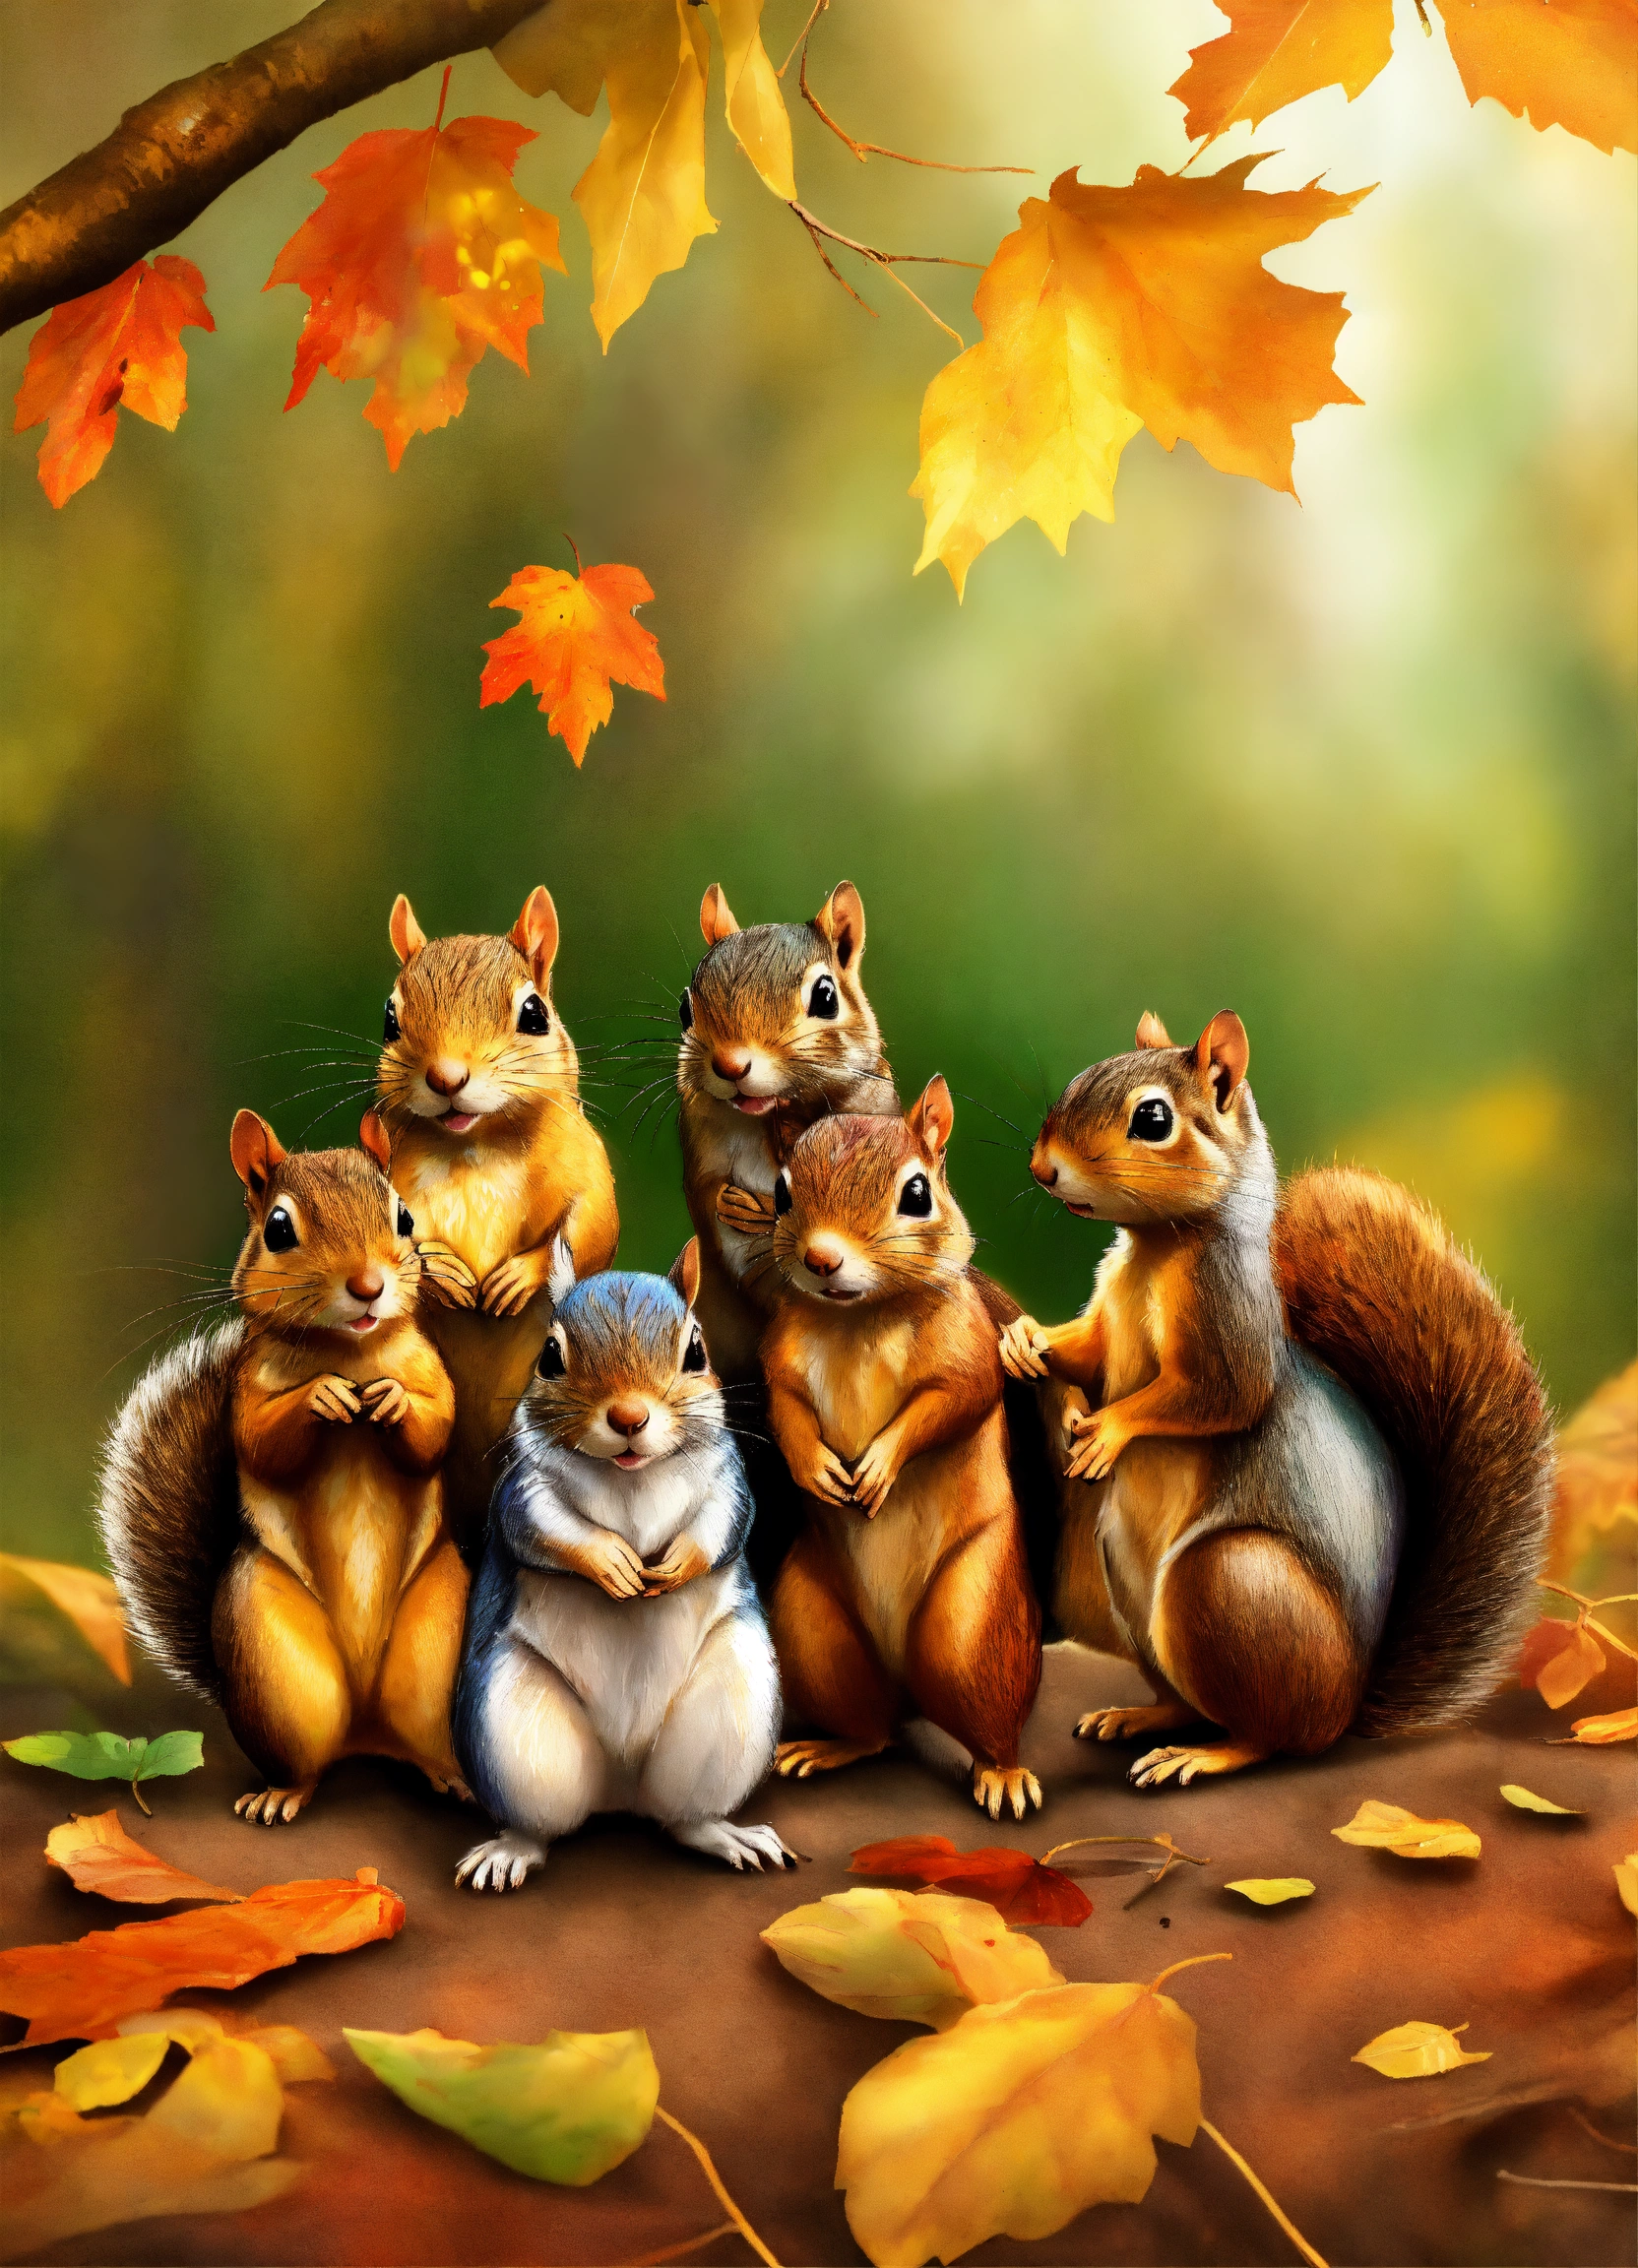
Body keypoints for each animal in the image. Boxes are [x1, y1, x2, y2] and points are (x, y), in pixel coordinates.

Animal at [99, 1110, 468, 1825]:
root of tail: (365, 1730)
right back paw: (280, 1795)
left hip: (440, 1641)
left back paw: (454, 1777)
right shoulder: (247, 1393)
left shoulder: (433, 1371)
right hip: (270, 1656)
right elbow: (264, 1445)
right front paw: (321, 1398)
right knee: (303, 1763)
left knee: (427, 1740)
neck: (351, 1350)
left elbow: (435, 1434)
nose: (369, 1287)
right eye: (277, 1228)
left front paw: (391, 1400)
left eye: (405, 1217)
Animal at [376, 886, 620, 1553]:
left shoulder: (588, 1167)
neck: (474, 1147)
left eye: (533, 1013)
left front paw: (514, 1278)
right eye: (389, 1019)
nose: (446, 1077)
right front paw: (445, 1272)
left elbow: (592, 1230)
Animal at [451, 1237, 793, 1891]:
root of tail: (621, 1785)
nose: (629, 1417)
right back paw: (512, 1850)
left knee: (684, 1815)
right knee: (542, 1823)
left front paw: (677, 1564)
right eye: (550, 1357)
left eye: (696, 1352)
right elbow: (545, 1529)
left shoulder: (727, 1477)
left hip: (732, 1707)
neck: (630, 1476)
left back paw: (725, 1835)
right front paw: (611, 1562)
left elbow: (724, 1522)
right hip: (512, 1727)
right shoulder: (523, 1489)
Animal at [758, 1079, 1044, 1821]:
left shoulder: (967, 1349)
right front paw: (815, 1467)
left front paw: (880, 1464)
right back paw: (828, 1747)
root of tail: (907, 1686)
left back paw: (1003, 1773)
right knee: (873, 1729)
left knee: (986, 1717)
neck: (862, 1316)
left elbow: (950, 1404)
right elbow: (786, 1412)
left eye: (917, 1194)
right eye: (781, 1192)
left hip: (972, 1632)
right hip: (813, 1635)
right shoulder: (782, 1355)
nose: (821, 1259)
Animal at [999, 1009, 1553, 1787]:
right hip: (1132, 1593)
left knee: (1271, 1737)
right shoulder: (1108, 1316)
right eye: (1079, 1079)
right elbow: (1086, 1351)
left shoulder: (1229, 1322)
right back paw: (1141, 1717)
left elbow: (1217, 1396)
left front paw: (1108, 1429)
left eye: (1153, 1119)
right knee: (1189, 1700)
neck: (1156, 1250)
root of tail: (1347, 1709)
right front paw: (1026, 1340)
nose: (1042, 1169)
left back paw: (1203, 1756)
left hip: (1226, 1582)